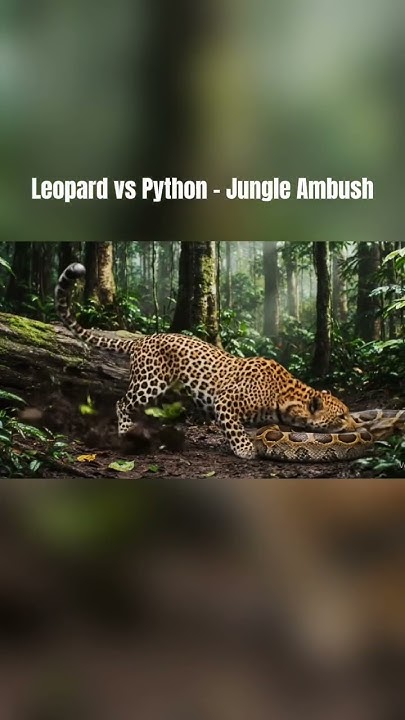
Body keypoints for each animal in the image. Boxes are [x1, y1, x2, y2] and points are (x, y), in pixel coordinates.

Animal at [55, 262, 357, 459]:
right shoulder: (225, 403)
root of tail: (143, 339)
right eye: (341, 415)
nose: (356, 427)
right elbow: (235, 429)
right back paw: (126, 432)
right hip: (149, 382)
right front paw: (245, 450)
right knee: (122, 403)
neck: (285, 396)